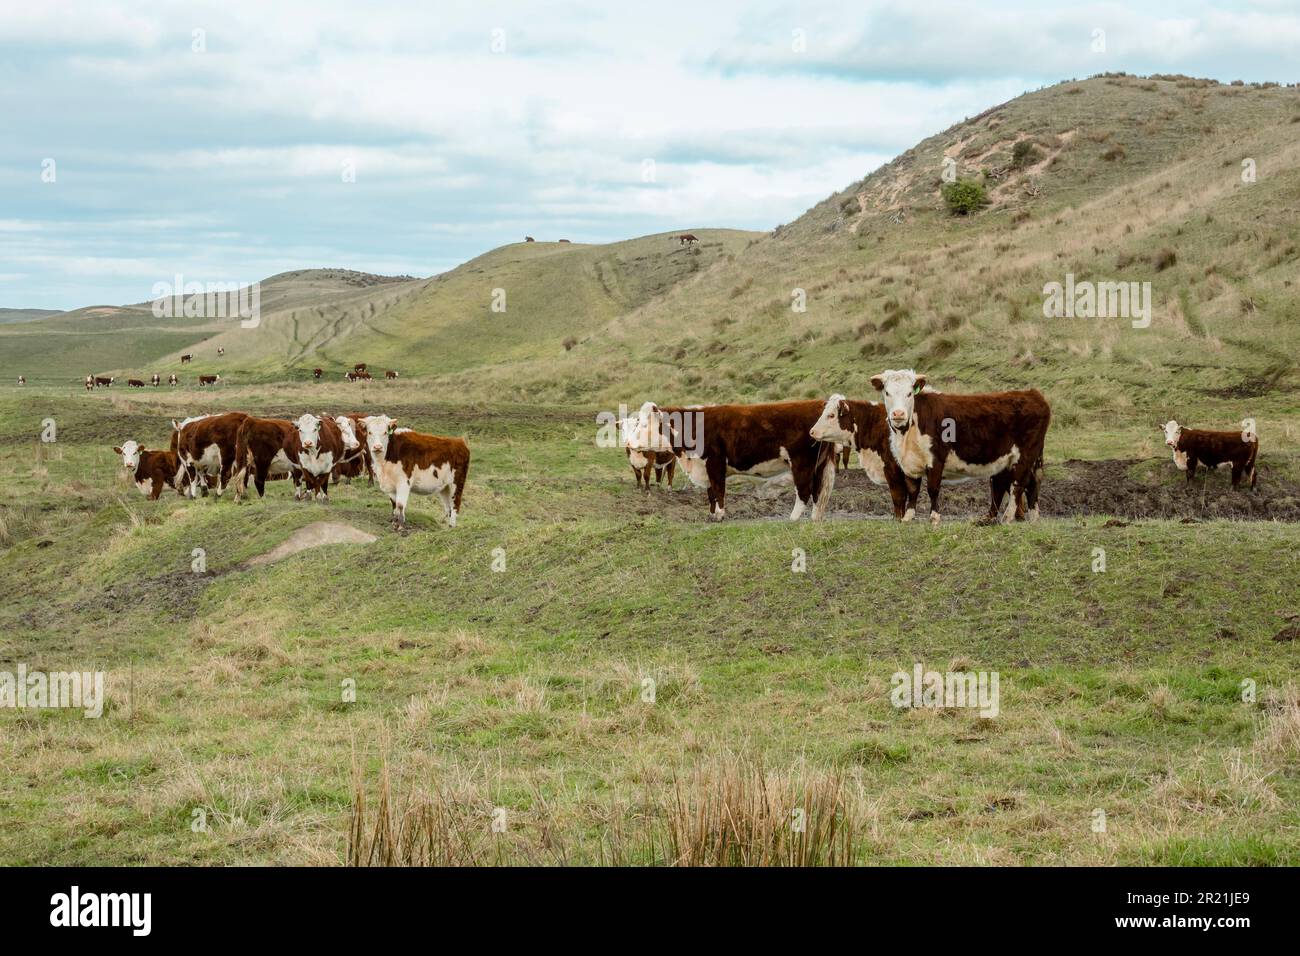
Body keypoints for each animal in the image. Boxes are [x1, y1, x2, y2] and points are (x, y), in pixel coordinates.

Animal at [631, 400, 836, 521]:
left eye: (643, 424)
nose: (629, 442)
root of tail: (817, 403)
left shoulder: (715, 462)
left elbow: (719, 490)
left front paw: (720, 515)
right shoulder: (706, 467)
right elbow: (711, 493)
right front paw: (712, 514)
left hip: (802, 463)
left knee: (804, 491)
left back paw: (793, 519)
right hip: (818, 465)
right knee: (818, 491)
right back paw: (814, 518)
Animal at [870, 369, 1050, 525]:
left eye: (909, 393)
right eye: (887, 393)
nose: (898, 414)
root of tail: (1032, 394)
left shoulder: (936, 458)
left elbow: (932, 488)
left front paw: (934, 517)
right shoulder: (910, 462)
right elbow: (913, 489)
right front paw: (908, 517)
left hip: (1025, 456)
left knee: (1018, 485)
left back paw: (1007, 517)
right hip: (1010, 459)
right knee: (1018, 484)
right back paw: (1022, 519)